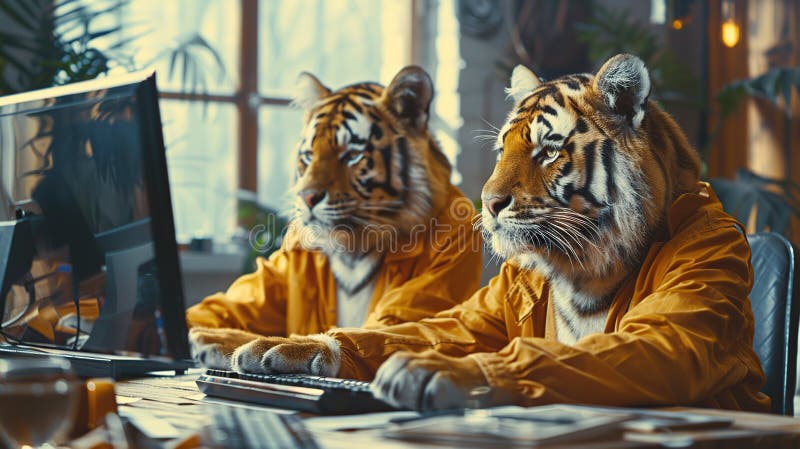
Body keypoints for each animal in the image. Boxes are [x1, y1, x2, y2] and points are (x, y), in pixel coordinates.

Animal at [187, 66, 482, 370]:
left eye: (351, 155)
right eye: (308, 155)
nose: (306, 196)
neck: (354, 248)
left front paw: (282, 347)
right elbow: (235, 303)